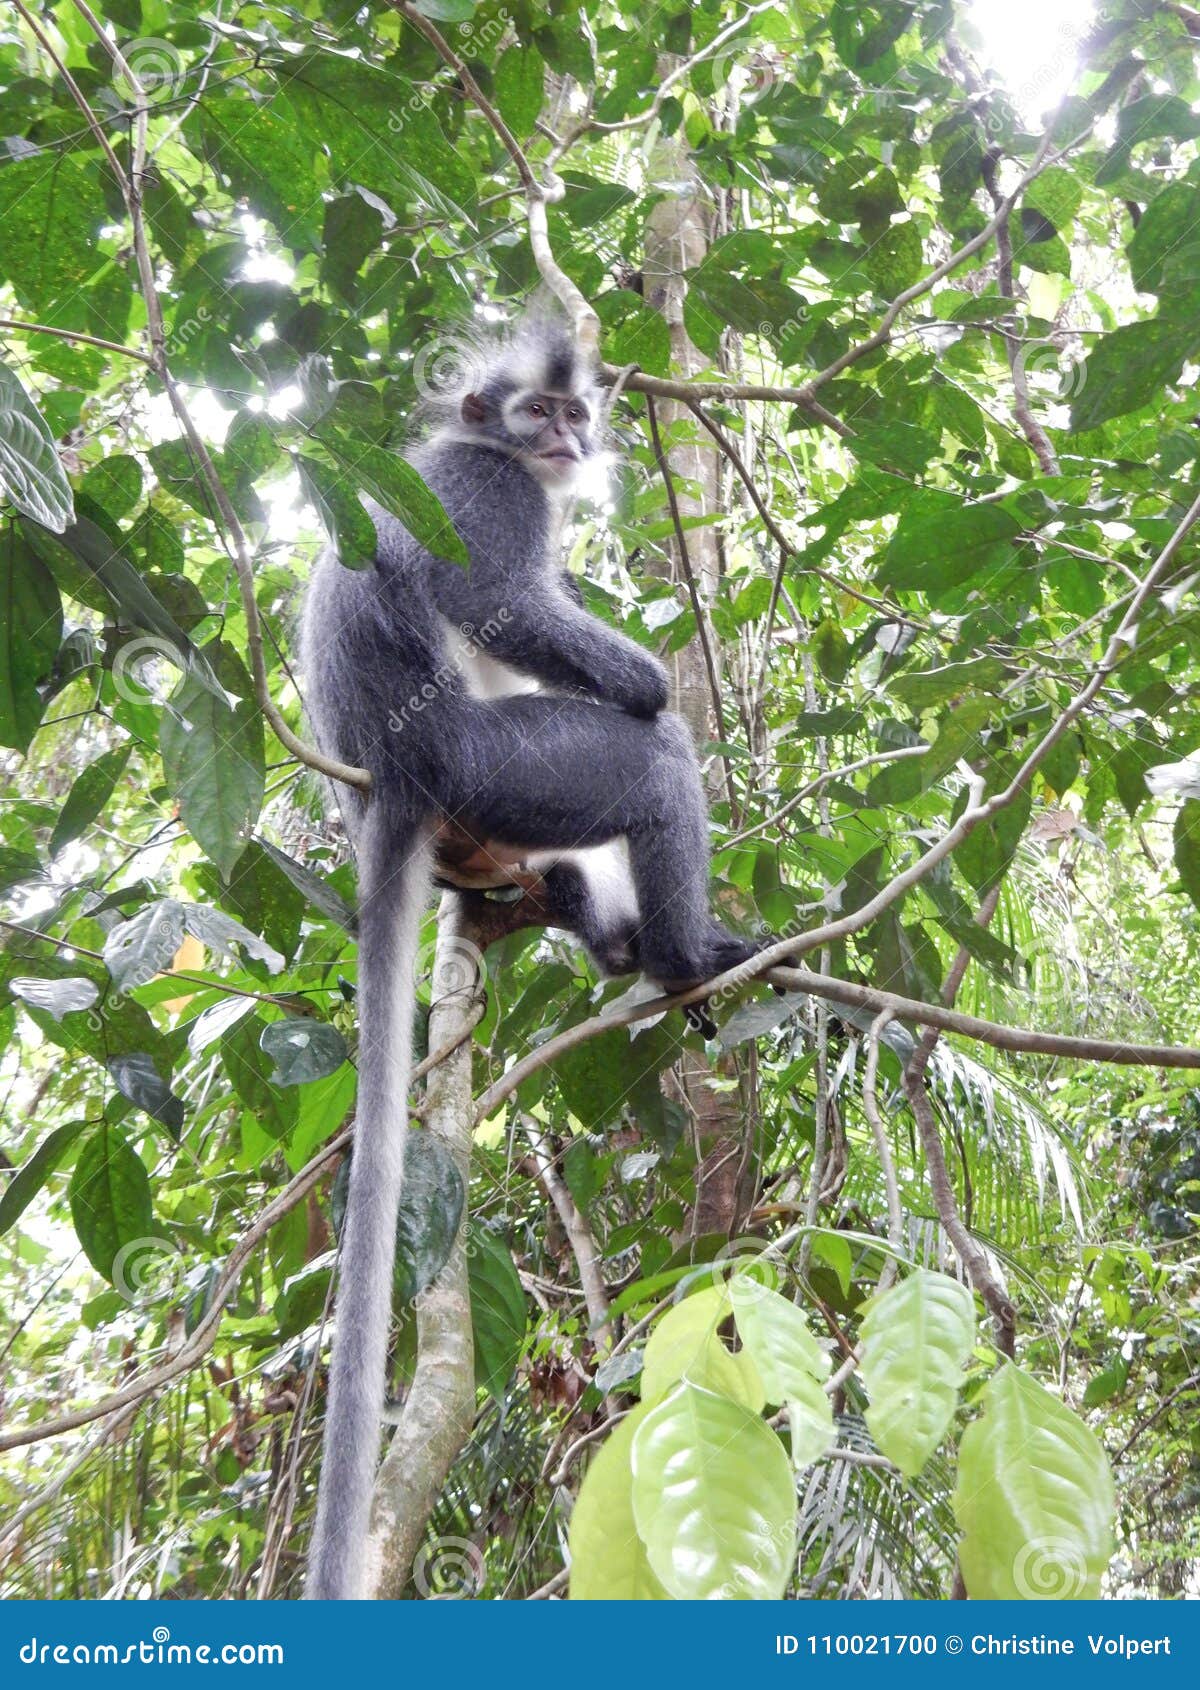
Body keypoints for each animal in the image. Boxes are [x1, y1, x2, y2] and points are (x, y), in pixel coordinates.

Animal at [298, 313, 763, 1599]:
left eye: (573, 414)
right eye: (535, 415)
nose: (567, 439)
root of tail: (390, 781)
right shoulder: (487, 489)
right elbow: (502, 604)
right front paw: (649, 675)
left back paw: (596, 932)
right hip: (499, 760)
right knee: (646, 758)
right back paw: (679, 953)